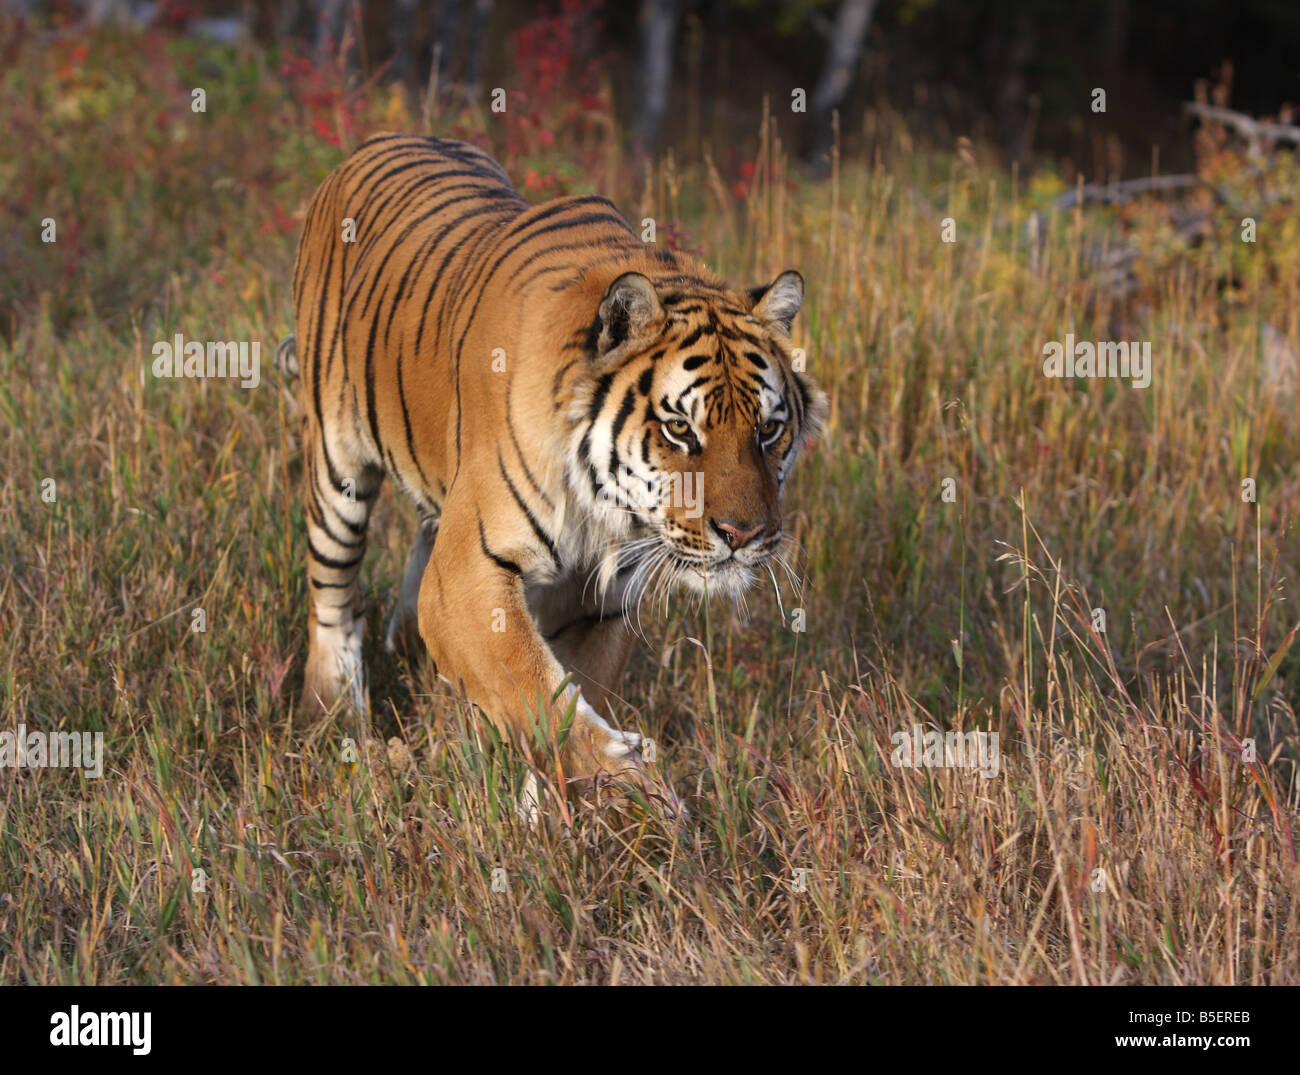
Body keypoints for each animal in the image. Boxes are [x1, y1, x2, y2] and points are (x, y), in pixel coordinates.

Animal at [283, 132, 825, 818]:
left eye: (768, 430)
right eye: (680, 429)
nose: (744, 535)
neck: (606, 511)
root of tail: (382, 141)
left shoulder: (601, 602)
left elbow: (568, 697)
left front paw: (550, 817)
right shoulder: (467, 578)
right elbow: (542, 698)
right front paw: (639, 797)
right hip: (337, 466)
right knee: (332, 593)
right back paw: (331, 717)